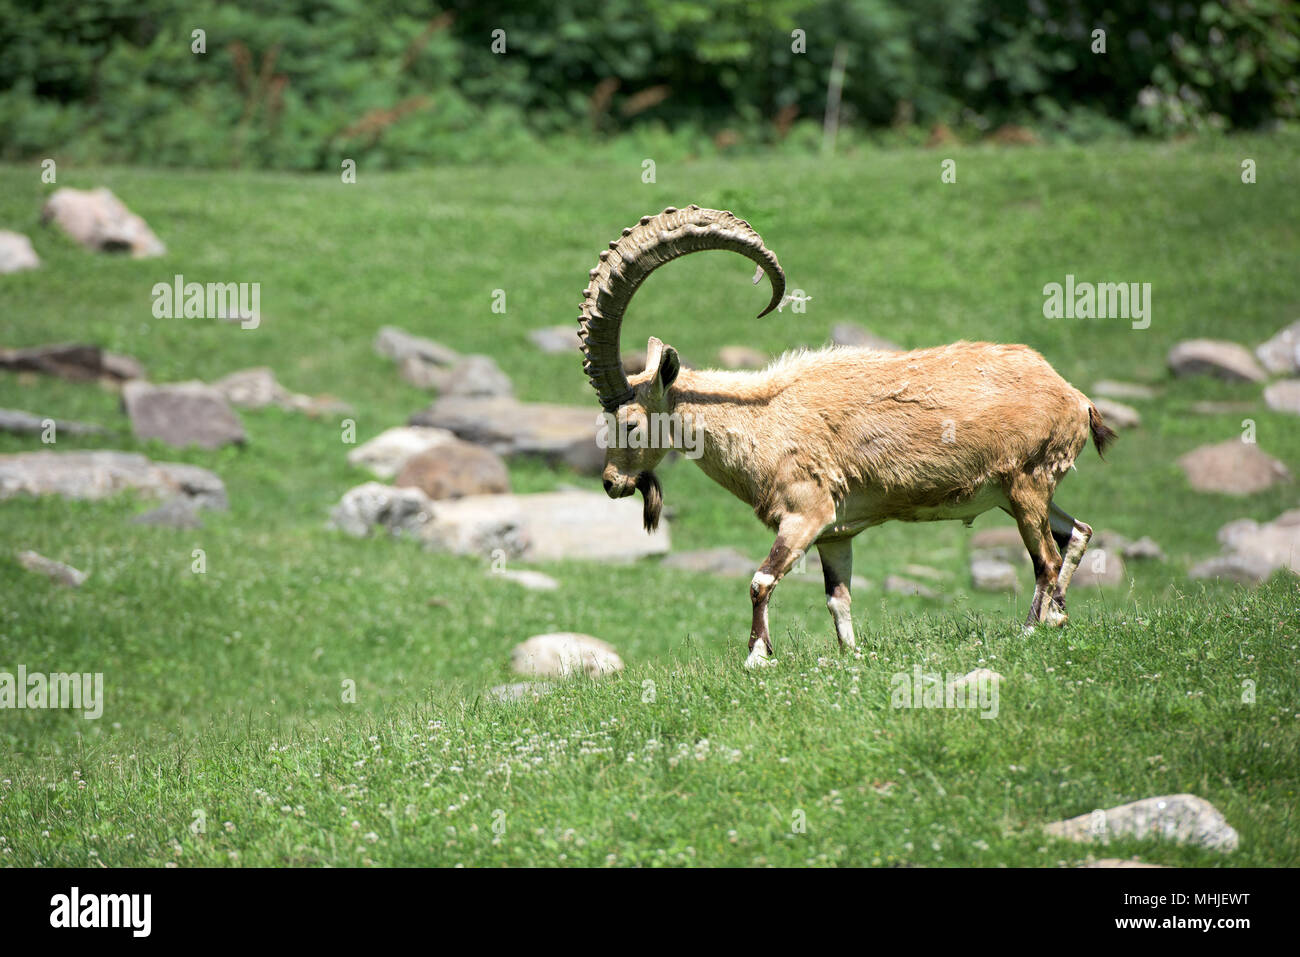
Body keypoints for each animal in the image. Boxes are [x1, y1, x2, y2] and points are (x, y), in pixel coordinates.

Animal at [578, 206, 1115, 668]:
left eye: (629, 422)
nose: (611, 483)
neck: (764, 419)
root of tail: (1074, 397)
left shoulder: (805, 513)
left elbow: (760, 579)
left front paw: (757, 657)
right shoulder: (837, 533)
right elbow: (837, 598)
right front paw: (850, 655)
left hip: (1027, 483)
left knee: (1046, 558)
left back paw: (1031, 628)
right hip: (1018, 492)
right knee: (1079, 531)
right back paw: (1058, 616)